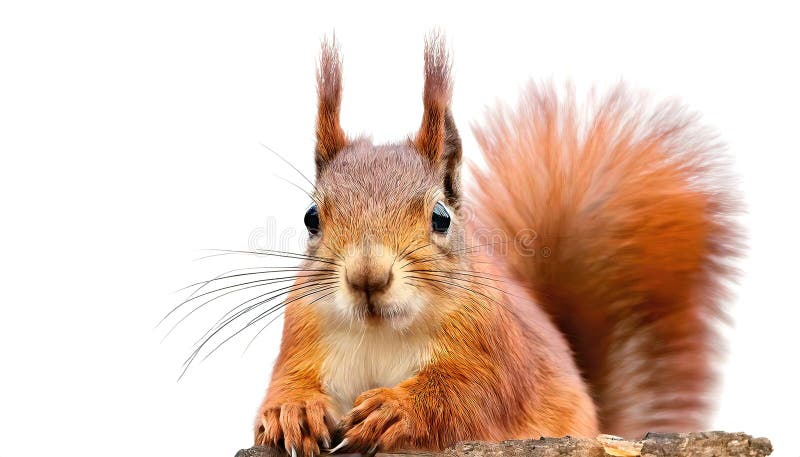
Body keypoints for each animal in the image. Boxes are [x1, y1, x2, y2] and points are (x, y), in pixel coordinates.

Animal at [253, 34, 742, 456]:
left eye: (441, 217)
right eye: (311, 218)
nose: (367, 277)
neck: (381, 331)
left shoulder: (493, 347)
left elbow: (469, 397)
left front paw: (395, 409)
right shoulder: (304, 334)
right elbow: (288, 381)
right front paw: (293, 410)